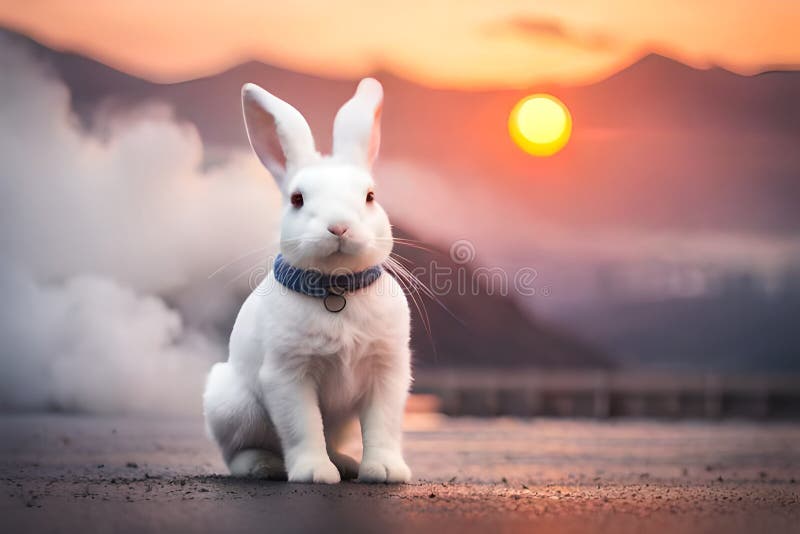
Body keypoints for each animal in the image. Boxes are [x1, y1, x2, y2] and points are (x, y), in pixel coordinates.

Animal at [203, 78, 412, 484]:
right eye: (297, 199)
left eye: (370, 196)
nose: (339, 227)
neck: (336, 287)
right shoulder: (287, 375)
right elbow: (304, 426)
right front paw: (315, 473)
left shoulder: (388, 371)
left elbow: (383, 426)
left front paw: (384, 471)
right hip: (231, 407)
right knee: (237, 451)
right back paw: (262, 466)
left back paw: (346, 464)